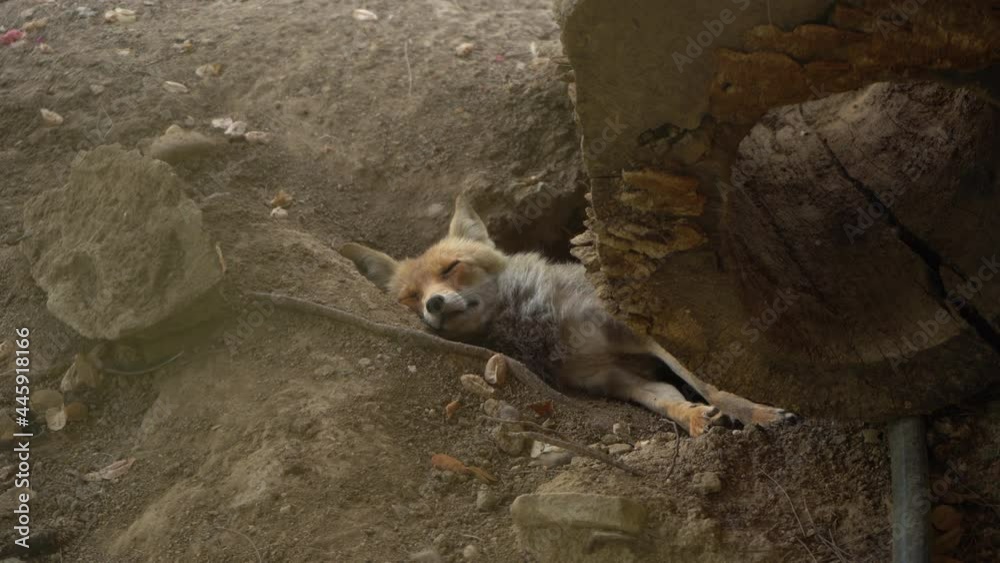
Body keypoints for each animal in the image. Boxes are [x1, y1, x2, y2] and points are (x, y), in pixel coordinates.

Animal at [340, 196, 796, 436]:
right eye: (409, 298)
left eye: (451, 268)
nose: (433, 304)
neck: (541, 326)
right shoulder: (612, 377)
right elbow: (669, 400)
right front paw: (696, 419)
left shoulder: (631, 330)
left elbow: (709, 386)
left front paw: (757, 413)